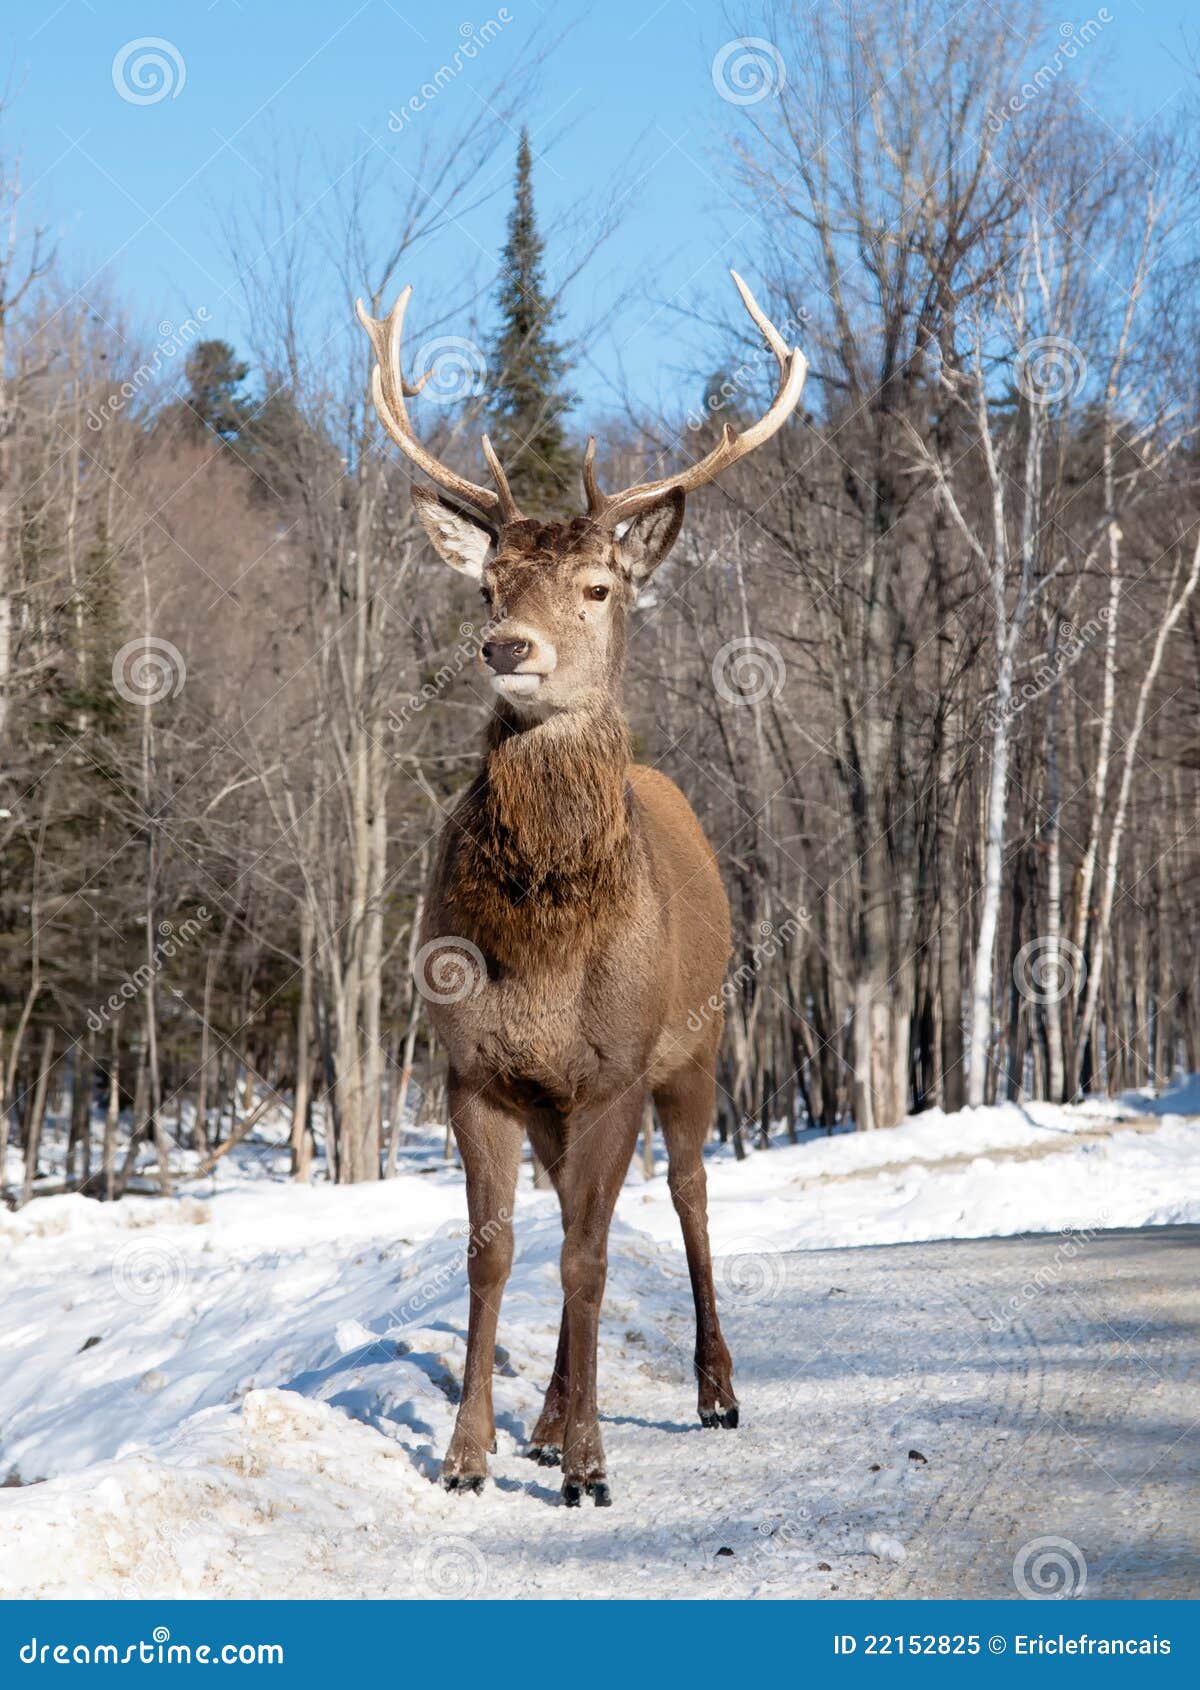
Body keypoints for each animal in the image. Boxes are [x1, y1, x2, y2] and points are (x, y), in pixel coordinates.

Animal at [356, 272, 806, 1507]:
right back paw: (552, 1419)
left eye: (599, 587)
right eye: (490, 583)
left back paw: (713, 1392)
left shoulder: (612, 1072)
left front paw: (594, 1469)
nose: (508, 646)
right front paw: (469, 1455)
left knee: (689, 1195)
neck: (550, 947)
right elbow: (499, 1253)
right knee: (571, 1217)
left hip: (698, 1046)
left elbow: (595, 1259)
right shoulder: (477, 1070)